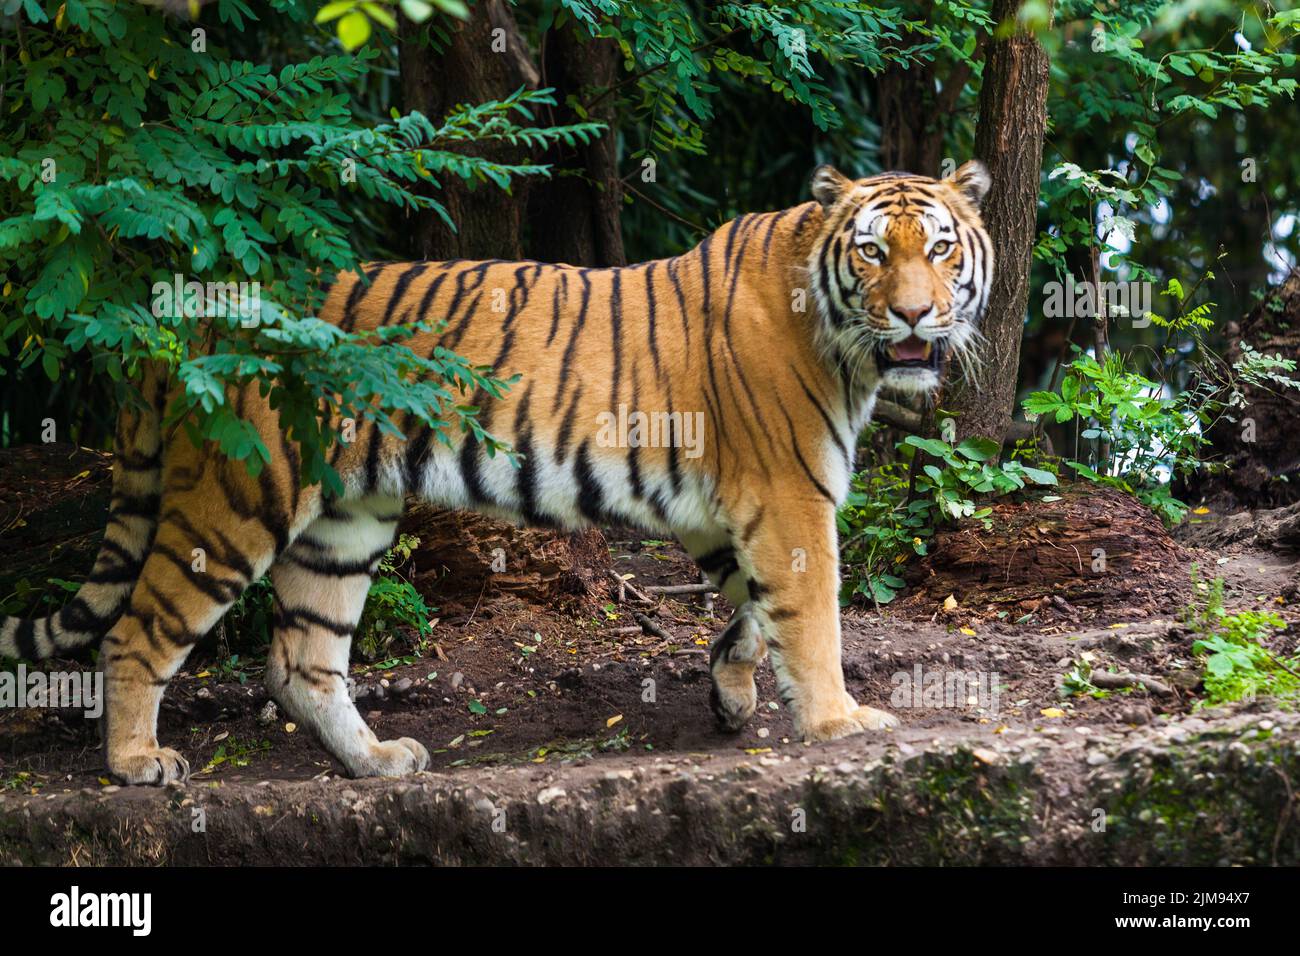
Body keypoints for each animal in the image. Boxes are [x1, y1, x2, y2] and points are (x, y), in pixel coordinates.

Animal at [0, 161, 993, 785]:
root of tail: (194, 316)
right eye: (873, 251)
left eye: (941, 249)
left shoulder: (720, 508)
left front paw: (731, 690)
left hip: (344, 525)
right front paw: (837, 723)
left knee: (301, 661)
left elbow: (756, 607)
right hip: (236, 503)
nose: (915, 316)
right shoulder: (787, 495)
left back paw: (376, 763)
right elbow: (813, 613)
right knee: (137, 634)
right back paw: (137, 764)